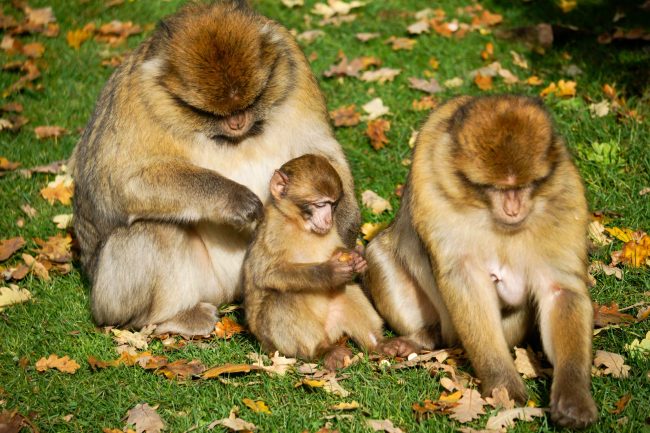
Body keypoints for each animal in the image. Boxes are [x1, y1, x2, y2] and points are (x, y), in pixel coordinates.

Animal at [68, 0, 360, 336]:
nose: (237, 122)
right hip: (116, 300)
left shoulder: (294, 67)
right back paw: (169, 317)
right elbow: (115, 185)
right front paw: (232, 198)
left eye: (253, 100)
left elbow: (319, 148)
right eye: (207, 112)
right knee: (155, 228)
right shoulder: (136, 97)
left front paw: (344, 224)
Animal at [244, 154, 418, 369]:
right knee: (281, 299)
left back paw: (378, 343)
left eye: (333, 205)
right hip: (275, 345)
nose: (328, 220)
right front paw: (329, 272)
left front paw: (357, 259)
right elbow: (267, 274)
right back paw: (323, 350)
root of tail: (329, 334)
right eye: (320, 205)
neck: (298, 225)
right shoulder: (273, 232)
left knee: (347, 289)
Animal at [364, 95, 598, 428]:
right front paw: (503, 383)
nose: (513, 209)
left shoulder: (565, 195)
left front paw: (573, 395)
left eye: (525, 185)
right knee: (379, 253)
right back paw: (423, 337)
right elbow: (464, 276)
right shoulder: (433, 184)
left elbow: (560, 290)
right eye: (495, 188)